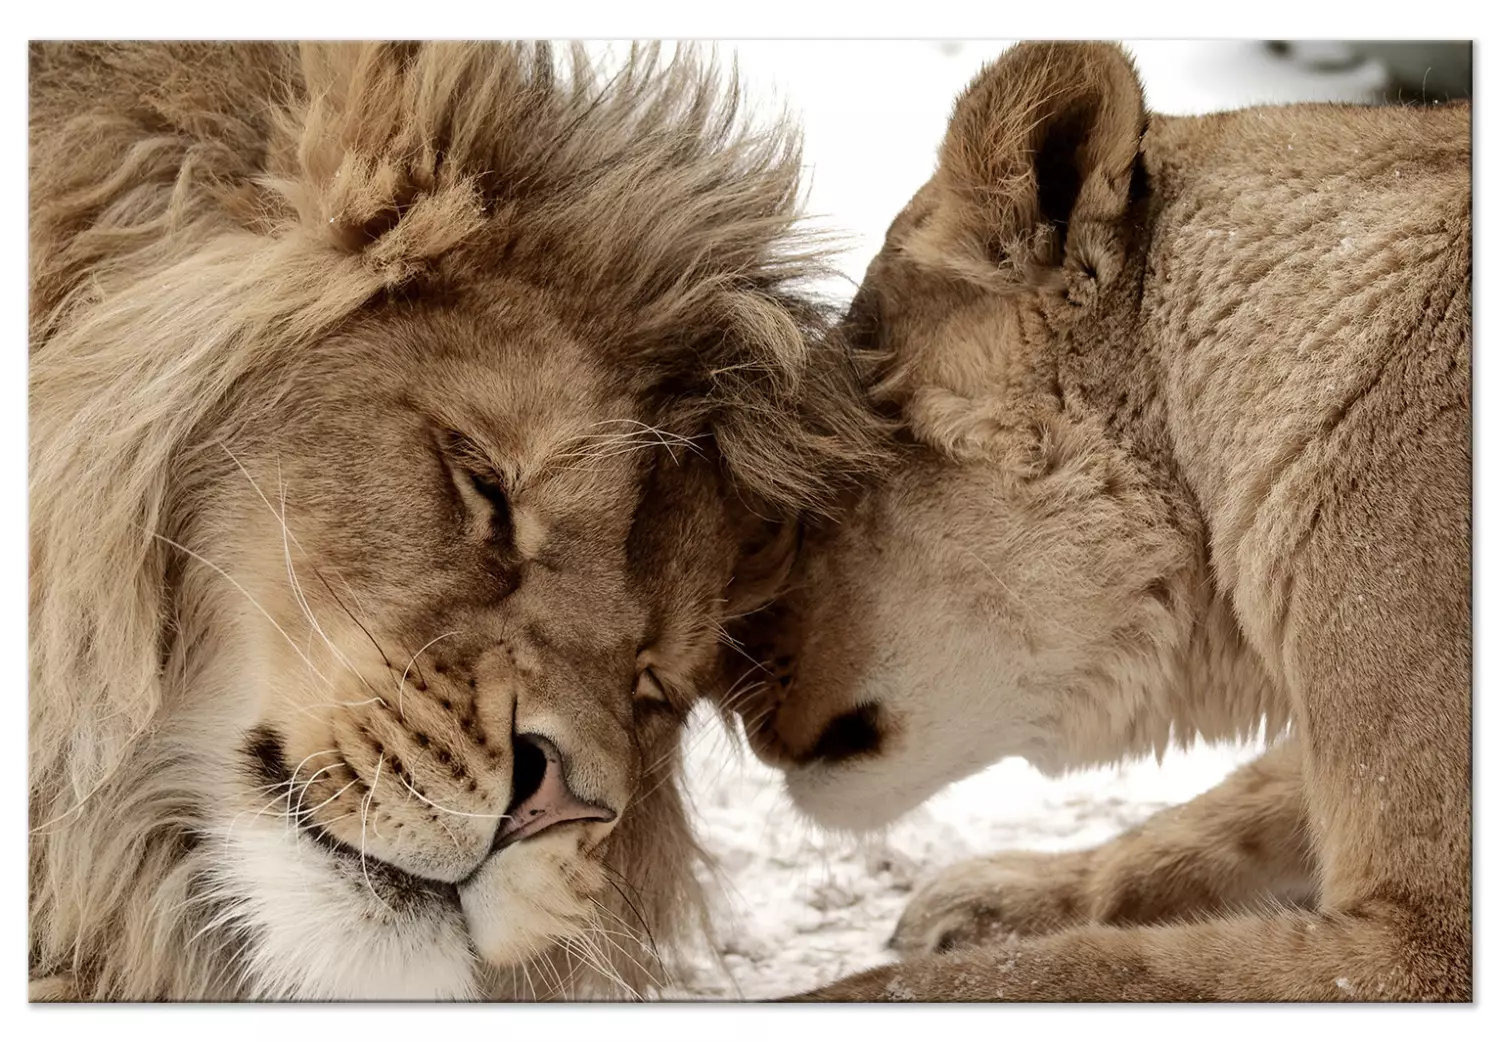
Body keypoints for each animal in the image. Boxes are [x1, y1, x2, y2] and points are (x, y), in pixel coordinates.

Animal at [733, 41, 1471, 1001]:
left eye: (818, 478)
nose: (718, 678)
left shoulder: (1427, 947)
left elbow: (1073, 971)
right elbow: (1215, 817)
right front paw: (994, 897)